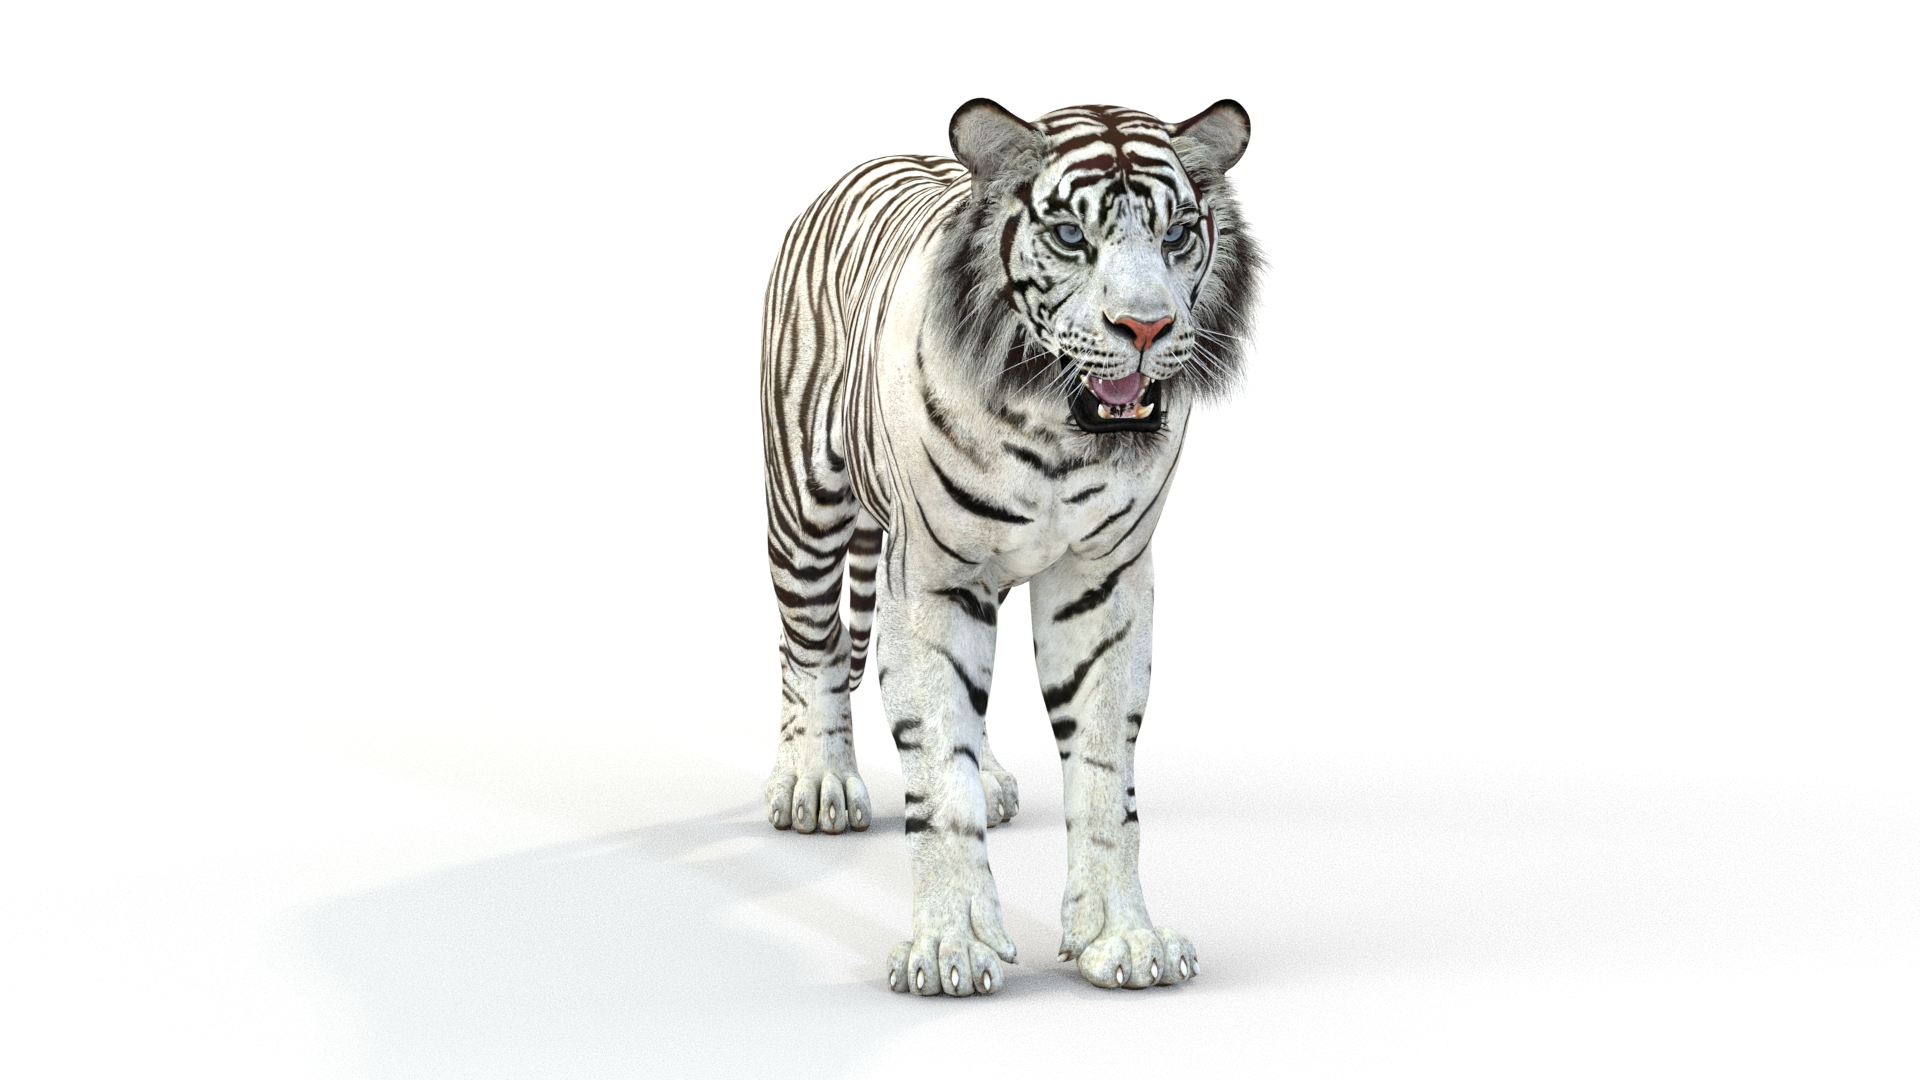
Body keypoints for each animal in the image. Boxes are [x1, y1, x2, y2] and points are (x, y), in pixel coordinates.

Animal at [759, 99, 1260, 995]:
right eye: (1067, 235)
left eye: (1176, 235)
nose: (1146, 326)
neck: (1053, 427)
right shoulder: (927, 576)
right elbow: (935, 768)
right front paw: (949, 947)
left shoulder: (1103, 579)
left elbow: (1103, 777)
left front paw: (1123, 937)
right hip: (805, 507)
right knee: (810, 645)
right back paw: (815, 780)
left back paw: (988, 776)